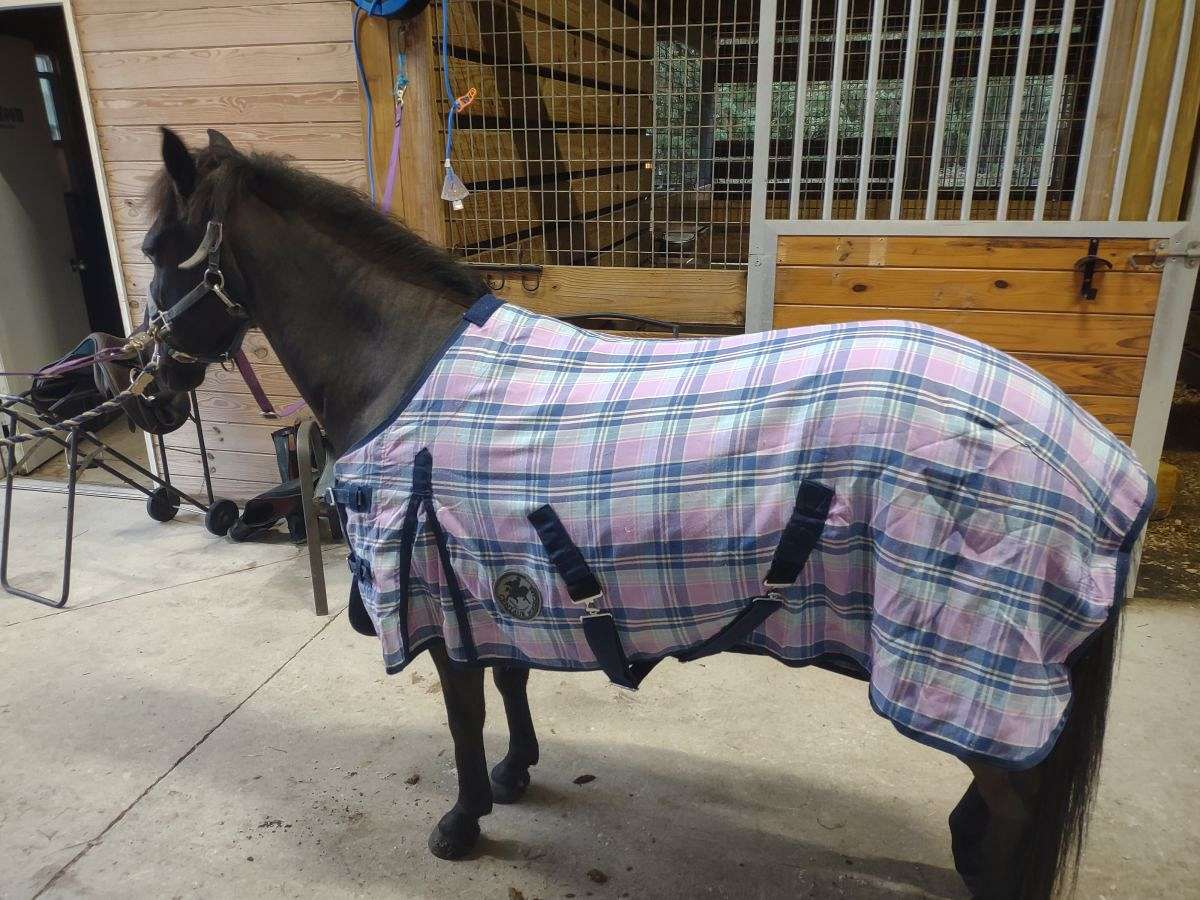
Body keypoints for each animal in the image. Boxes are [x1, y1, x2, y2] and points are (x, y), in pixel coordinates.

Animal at [139, 127, 1152, 899]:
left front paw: (463, 821)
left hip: (977, 675)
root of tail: (1096, 454)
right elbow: (511, 686)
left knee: (1010, 812)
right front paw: (516, 773)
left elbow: (464, 715)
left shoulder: (438, 594)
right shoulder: (498, 578)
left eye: (152, 252)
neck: (407, 365)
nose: (147, 394)